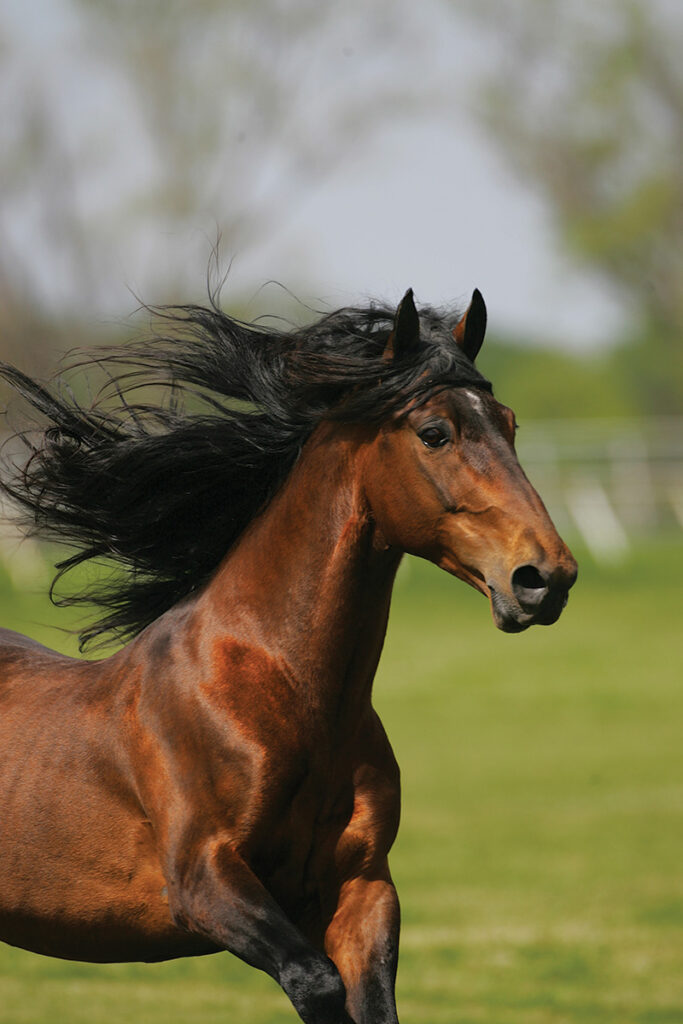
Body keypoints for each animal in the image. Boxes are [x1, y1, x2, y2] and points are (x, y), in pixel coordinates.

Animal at [0, 287, 577, 1023]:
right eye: (434, 432)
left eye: (508, 423)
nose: (545, 578)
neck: (278, 694)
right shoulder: (205, 880)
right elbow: (316, 982)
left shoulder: (362, 887)